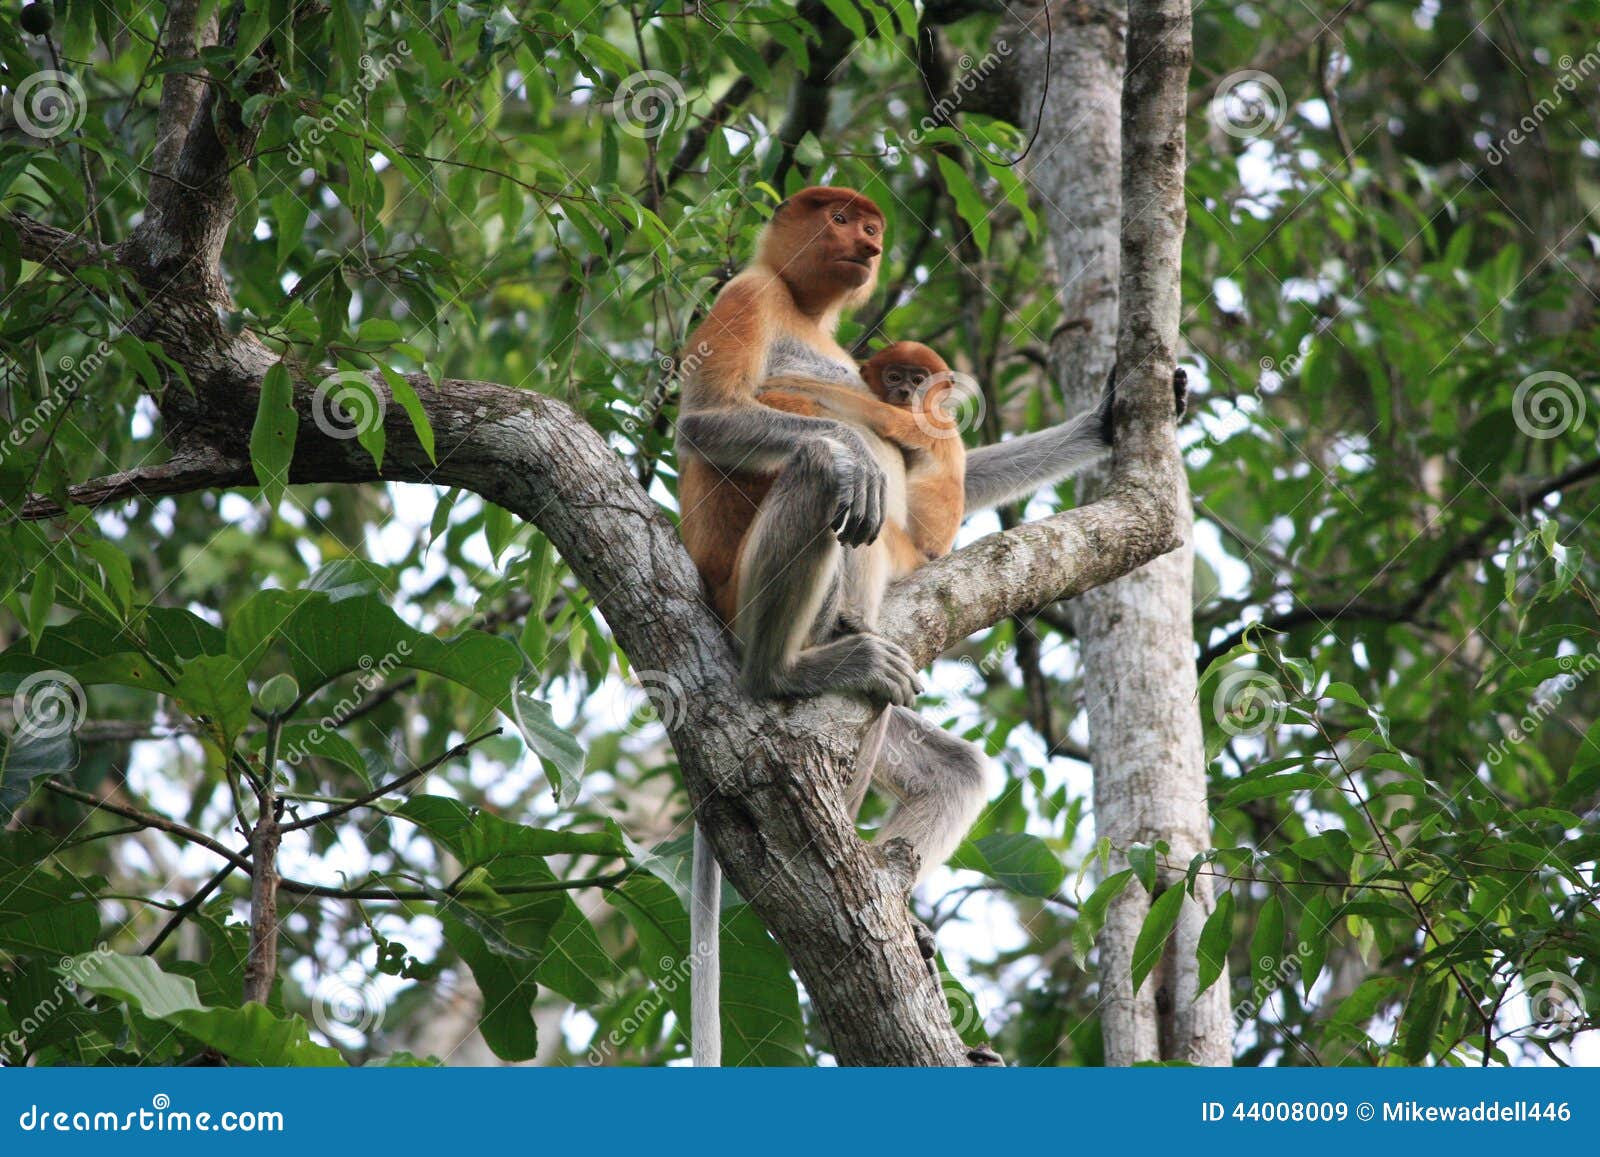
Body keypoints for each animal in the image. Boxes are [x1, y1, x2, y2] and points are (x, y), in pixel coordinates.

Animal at [674, 186, 1178, 1066]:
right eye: (838, 216)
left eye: (868, 222)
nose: (871, 242)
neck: (803, 307)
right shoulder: (749, 296)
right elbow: (710, 416)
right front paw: (858, 442)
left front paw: (1110, 413)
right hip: (742, 588)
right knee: (824, 470)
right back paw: (785, 665)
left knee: (953, 768)